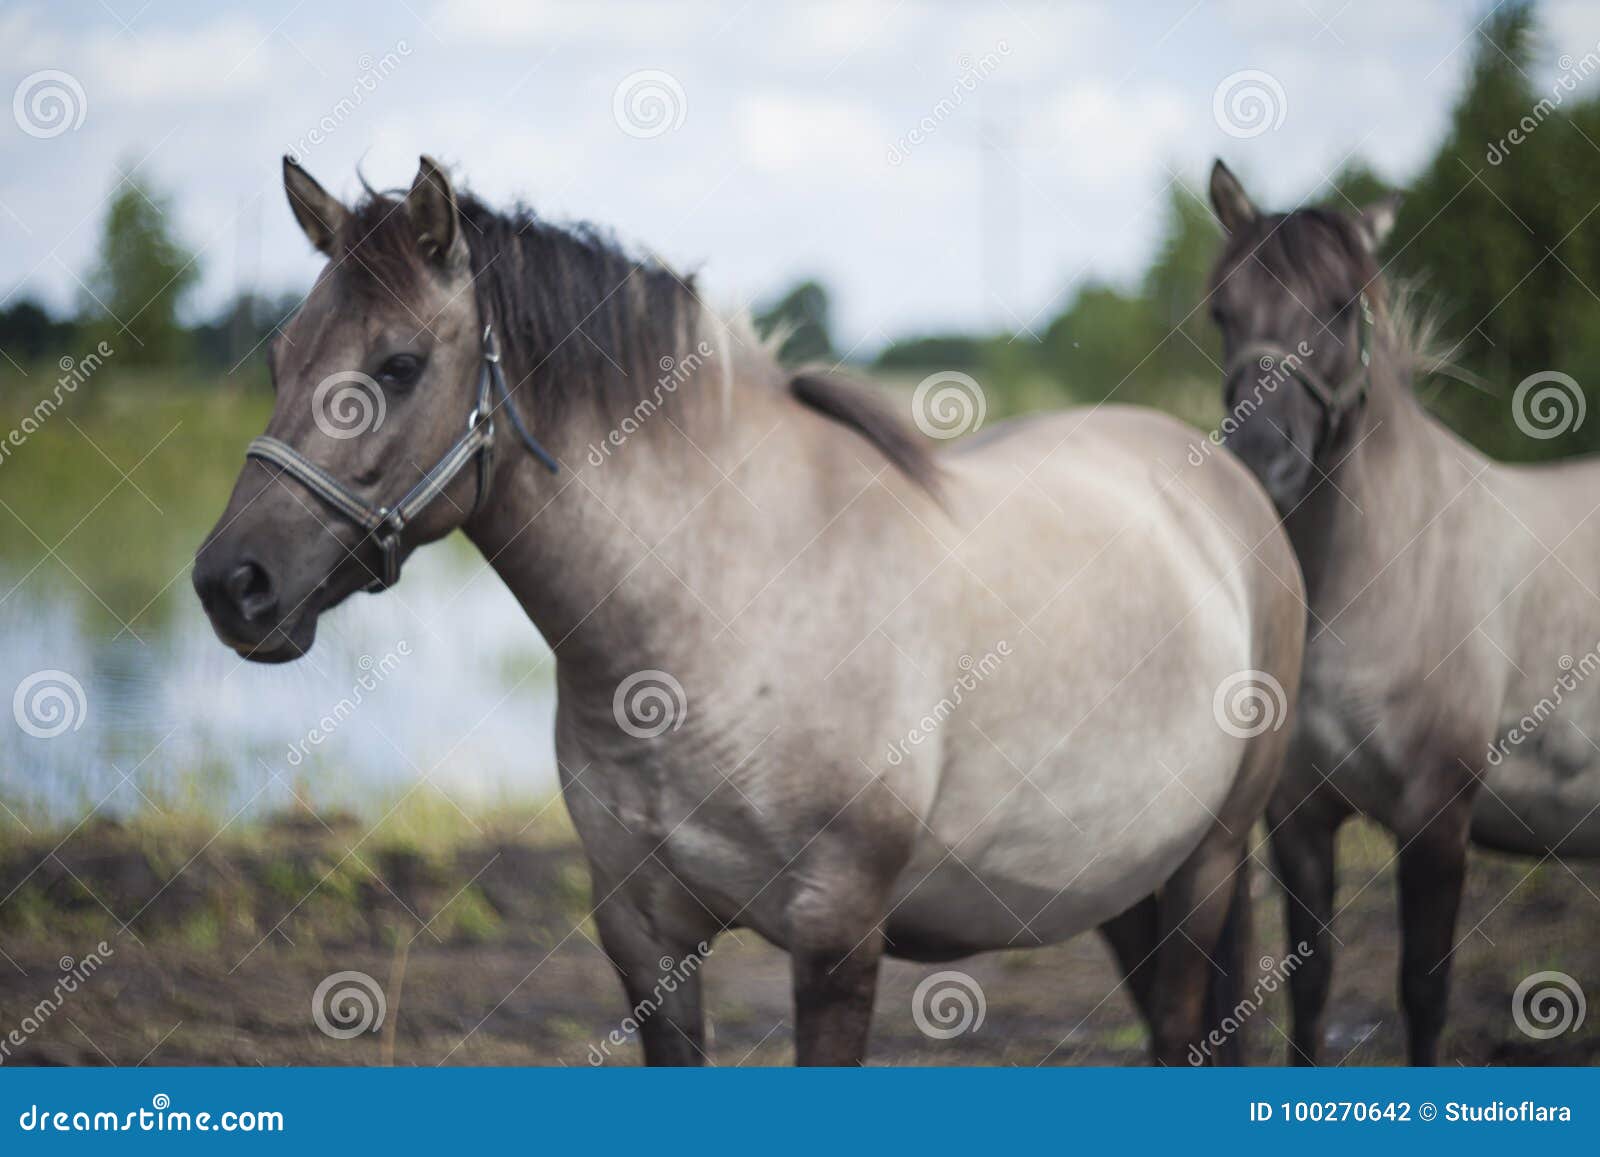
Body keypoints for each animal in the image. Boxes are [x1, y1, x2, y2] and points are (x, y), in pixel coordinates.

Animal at [193, 154, 1305, 1065]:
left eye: (398, 365)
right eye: (280, 359)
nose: (229, 582)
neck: (711, 613)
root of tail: (1221, 480)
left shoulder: (837, 935)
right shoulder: (643, 936)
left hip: (1207, 863)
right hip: (1123, 876)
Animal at [1206, 159, 1600, 1066]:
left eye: (1339, 303)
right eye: (1222, 311)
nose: (1261, 457)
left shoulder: (1435, 816)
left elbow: (1424, 991)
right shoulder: (1300, 817)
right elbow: (1310, 988)